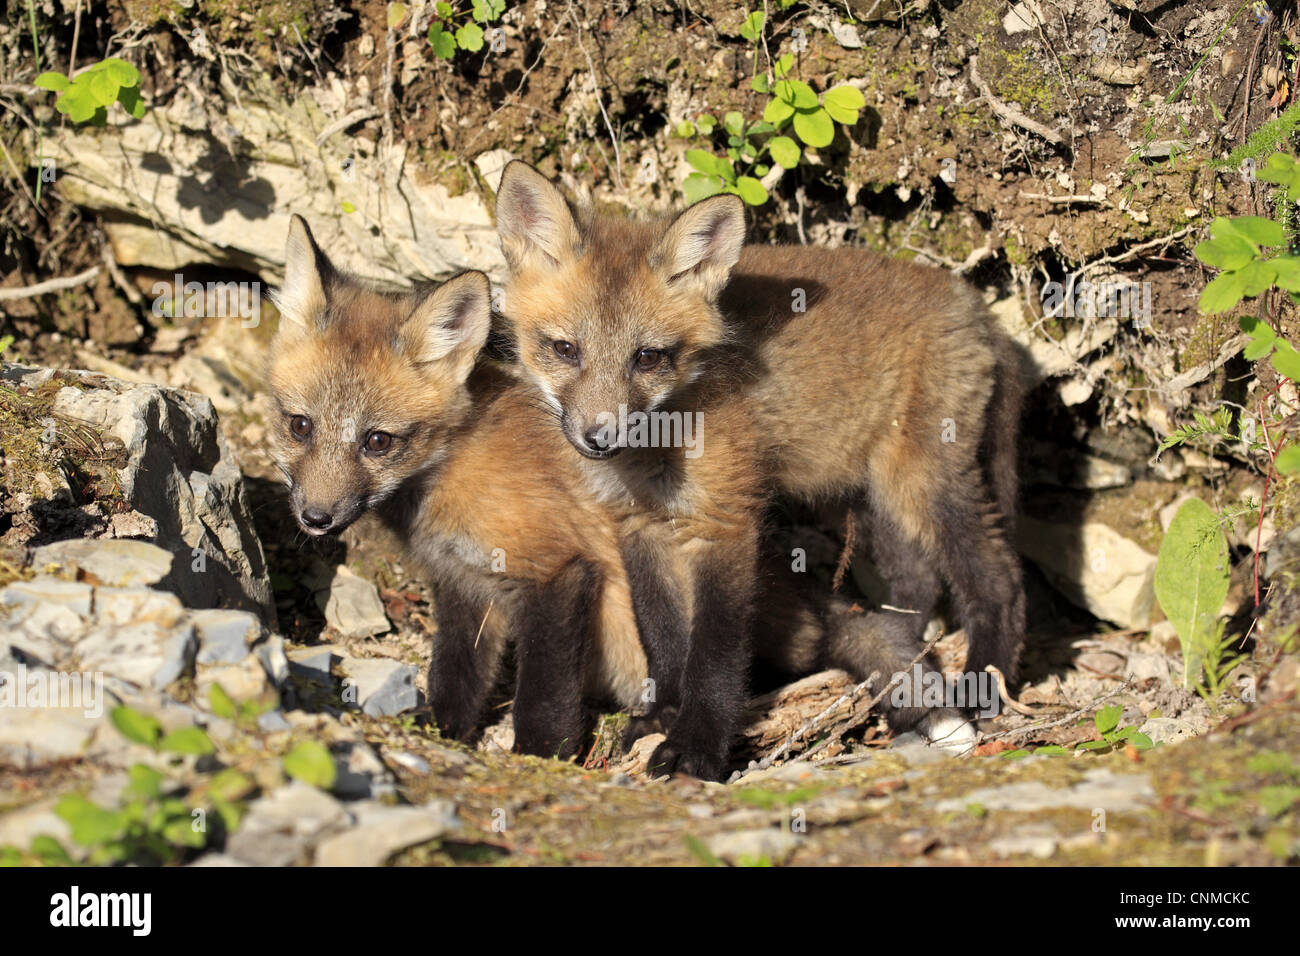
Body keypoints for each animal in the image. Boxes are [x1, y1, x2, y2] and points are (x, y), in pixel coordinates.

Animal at [494, 161, 1023, 778]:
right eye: (564, 349)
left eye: (648, 357)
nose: (600, 437)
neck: (658, 448)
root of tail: (975, 305)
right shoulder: (639, 527)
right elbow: (662, 636)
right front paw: (659, 716)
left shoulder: (727, 521)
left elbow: (714, 652)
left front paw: (695, 747)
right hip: (879, 496)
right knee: (914, 582)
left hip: (924, 484)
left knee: (999, 580)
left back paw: (982, 687)